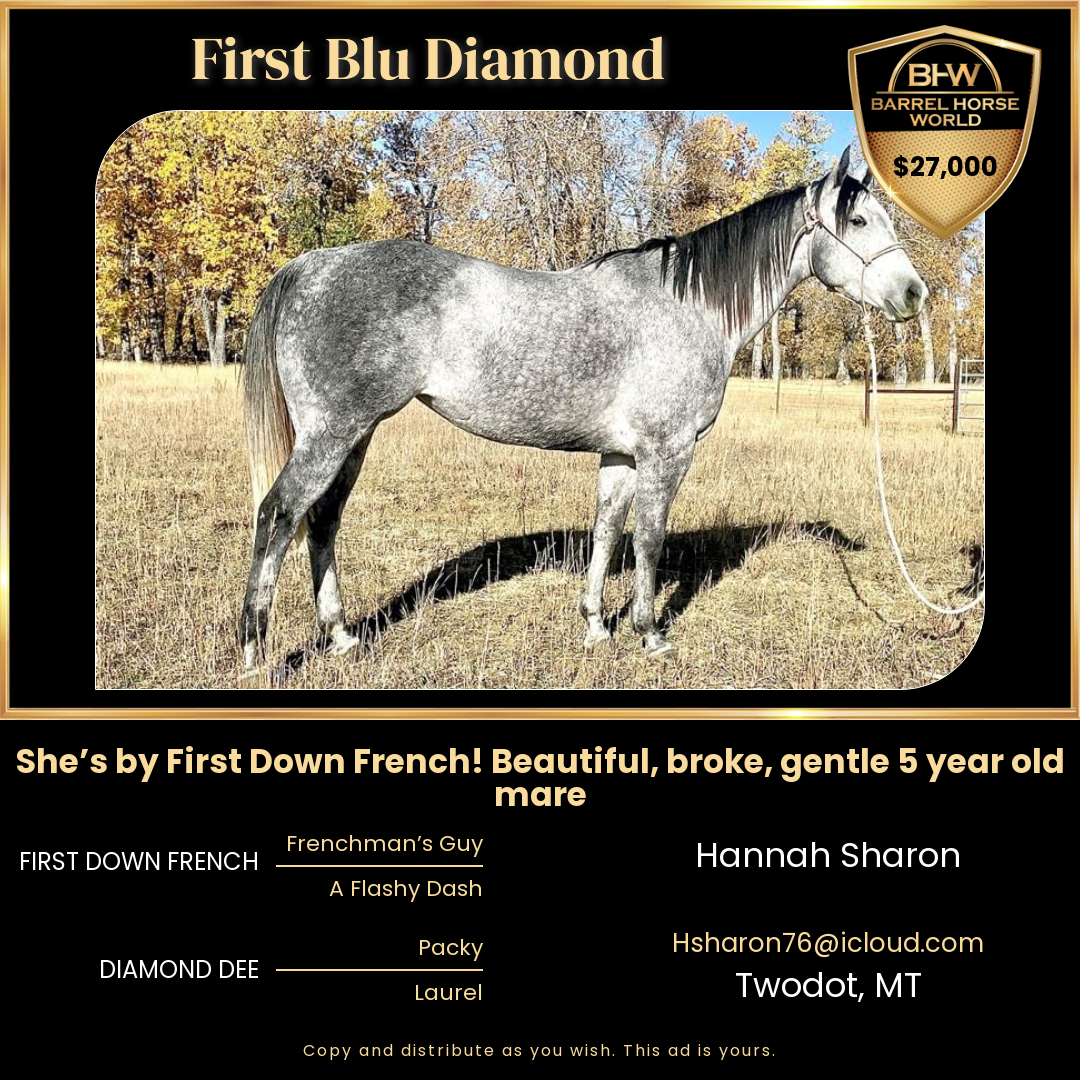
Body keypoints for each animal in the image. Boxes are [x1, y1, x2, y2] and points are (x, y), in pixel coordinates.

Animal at [239, 146, 927, 673]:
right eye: (859, 220)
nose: (914, 294)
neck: (689, 308)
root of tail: (310, 265)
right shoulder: (666, 451)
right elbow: (649, 539)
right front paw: (650, 634)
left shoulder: (621, 454)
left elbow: (607, 531)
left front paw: (596, 625)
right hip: (331, 435)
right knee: (278, 514)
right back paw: (254, 652)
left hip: (354, 437)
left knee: (321, 521)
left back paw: (342, 637)